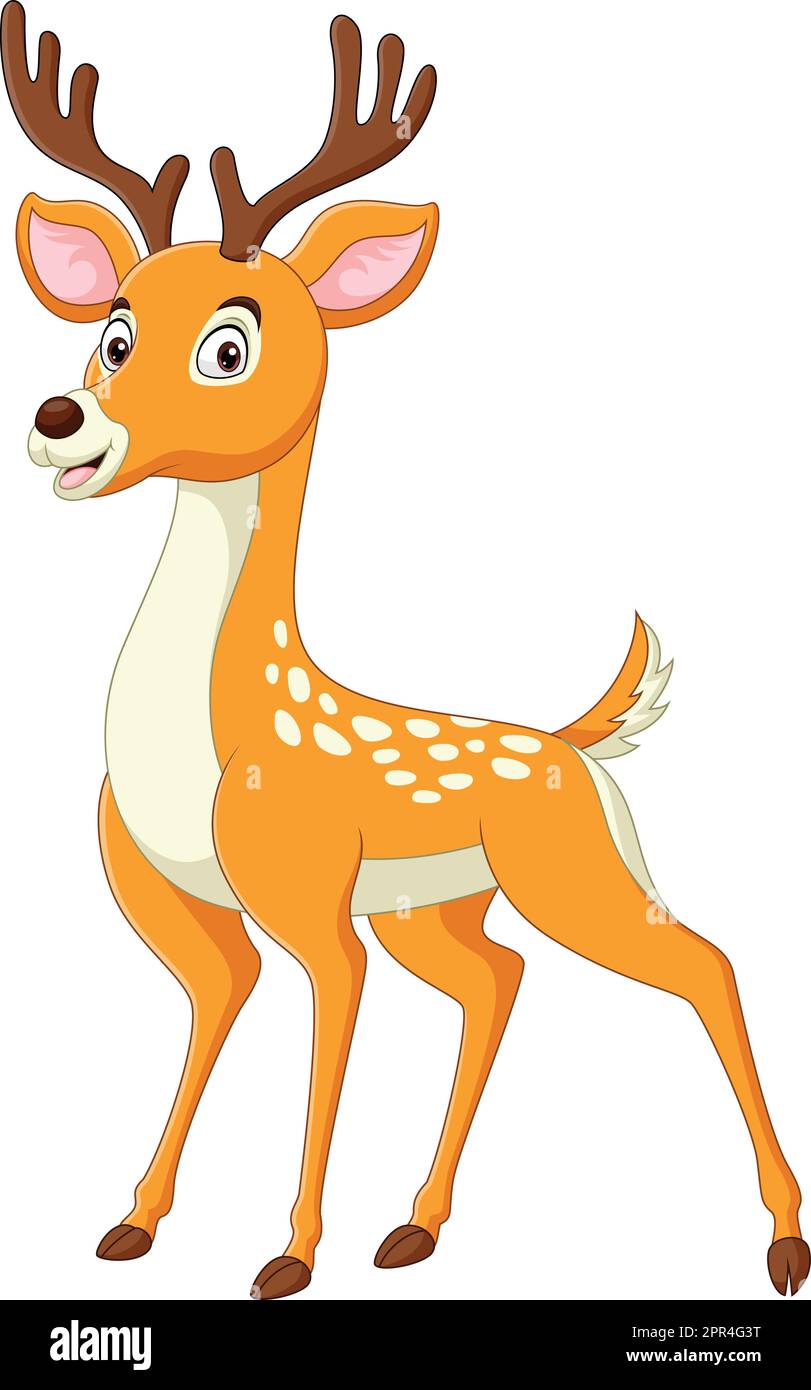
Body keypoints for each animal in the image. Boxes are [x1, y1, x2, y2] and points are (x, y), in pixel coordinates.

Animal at [2, 0, 807, 1302]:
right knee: (500, 981)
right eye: (113, 328)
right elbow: (213, 1019)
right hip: (441, 908)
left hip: (574, 870)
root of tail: (577, 748)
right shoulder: (184, 908)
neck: (204, 740)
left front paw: (285, 1254)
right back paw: (416, 1226)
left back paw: (780, 1240)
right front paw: (130, 1222)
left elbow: (328, 1027)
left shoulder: (310, 893)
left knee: (707, 961)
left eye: (229, 346)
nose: (61, 420)